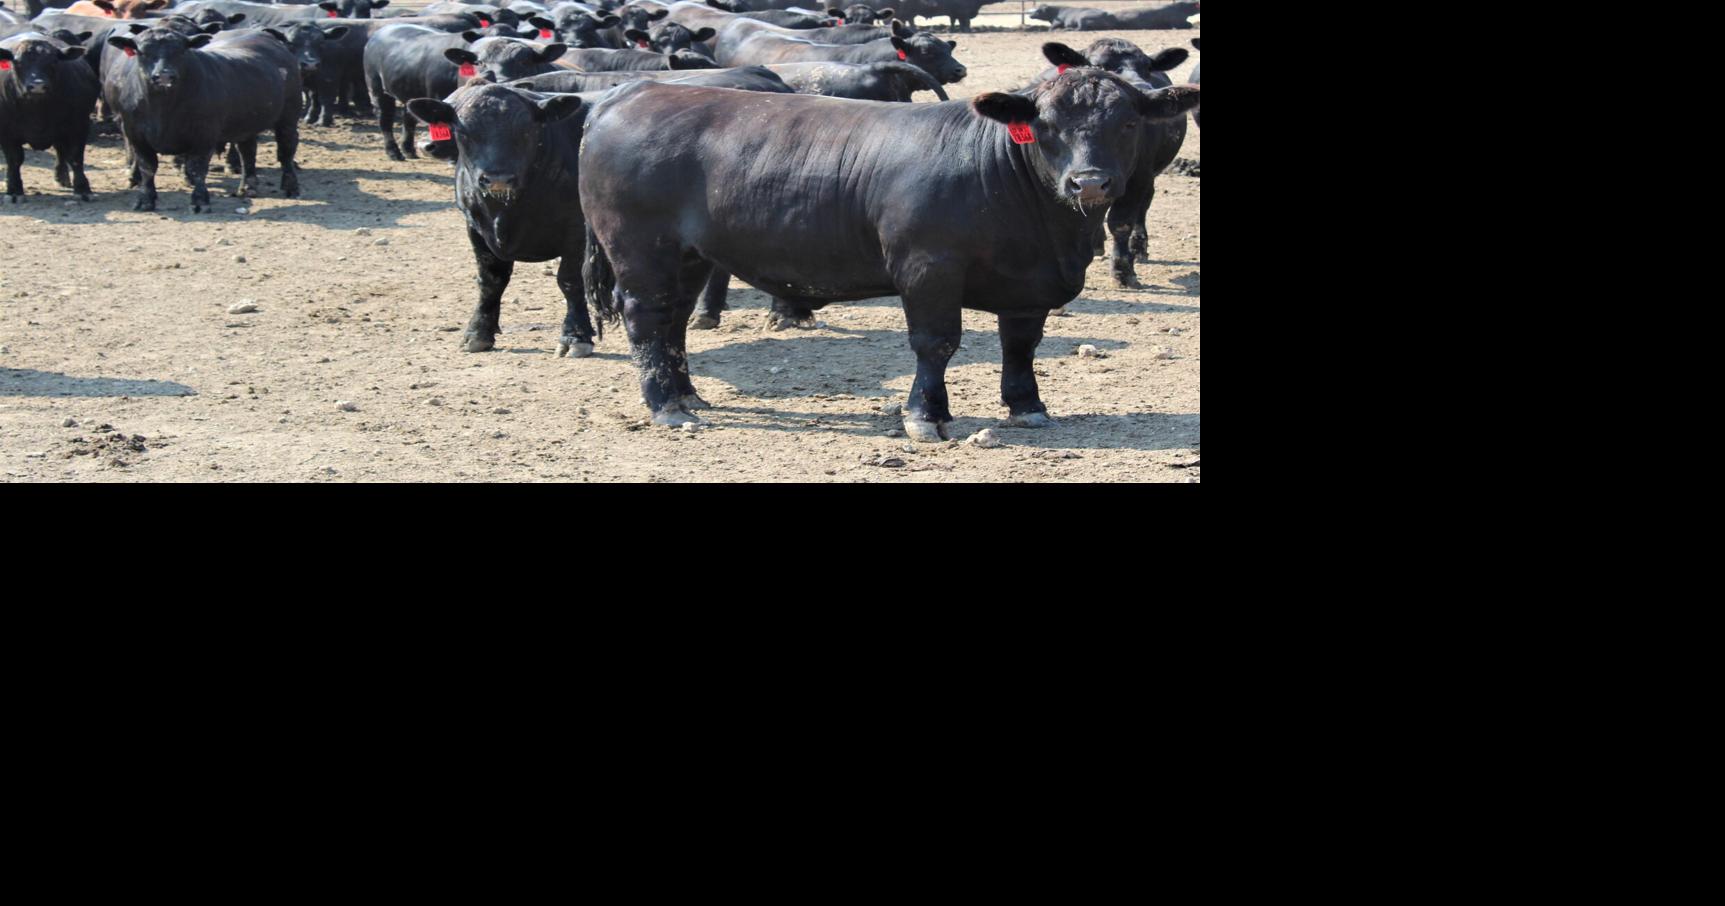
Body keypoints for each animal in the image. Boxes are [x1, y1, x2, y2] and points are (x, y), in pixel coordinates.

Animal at [0, 30, 98, 202]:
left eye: (53, 62)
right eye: (18, 63)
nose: (37, 85)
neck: (37, 109)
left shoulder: (79, 126)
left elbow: (75, 157)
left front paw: (83, 188)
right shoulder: (6, 132)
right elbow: (14, 160)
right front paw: (14, 190)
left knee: (61, 151)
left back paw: (62, 177)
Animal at [103, 26, 303, 211]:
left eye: (181, 50)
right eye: (142, 51)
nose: (164, 76)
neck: (162, 109)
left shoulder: (204, 135)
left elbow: (196, 168)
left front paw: (200, 201)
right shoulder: (137, 136)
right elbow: (147, 168)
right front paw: (145, 201)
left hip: (289, 117)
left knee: (286, 150)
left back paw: (291, 187)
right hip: (247, 124)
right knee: (247, 152)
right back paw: (247, 187)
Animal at [577, 75, 1200, 435]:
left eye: (1127, 122)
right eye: (1044, 125)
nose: (1089, 182)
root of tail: (630, 92)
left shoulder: (1029, 284)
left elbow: (1021, 345)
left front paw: (1027, 406)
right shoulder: (928, 268)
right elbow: (935, 343)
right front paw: (926, 415)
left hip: (689, 256)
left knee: (674, 321)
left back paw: (689, 395)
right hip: (640, 250)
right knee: (646, 319)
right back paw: (666, 405)